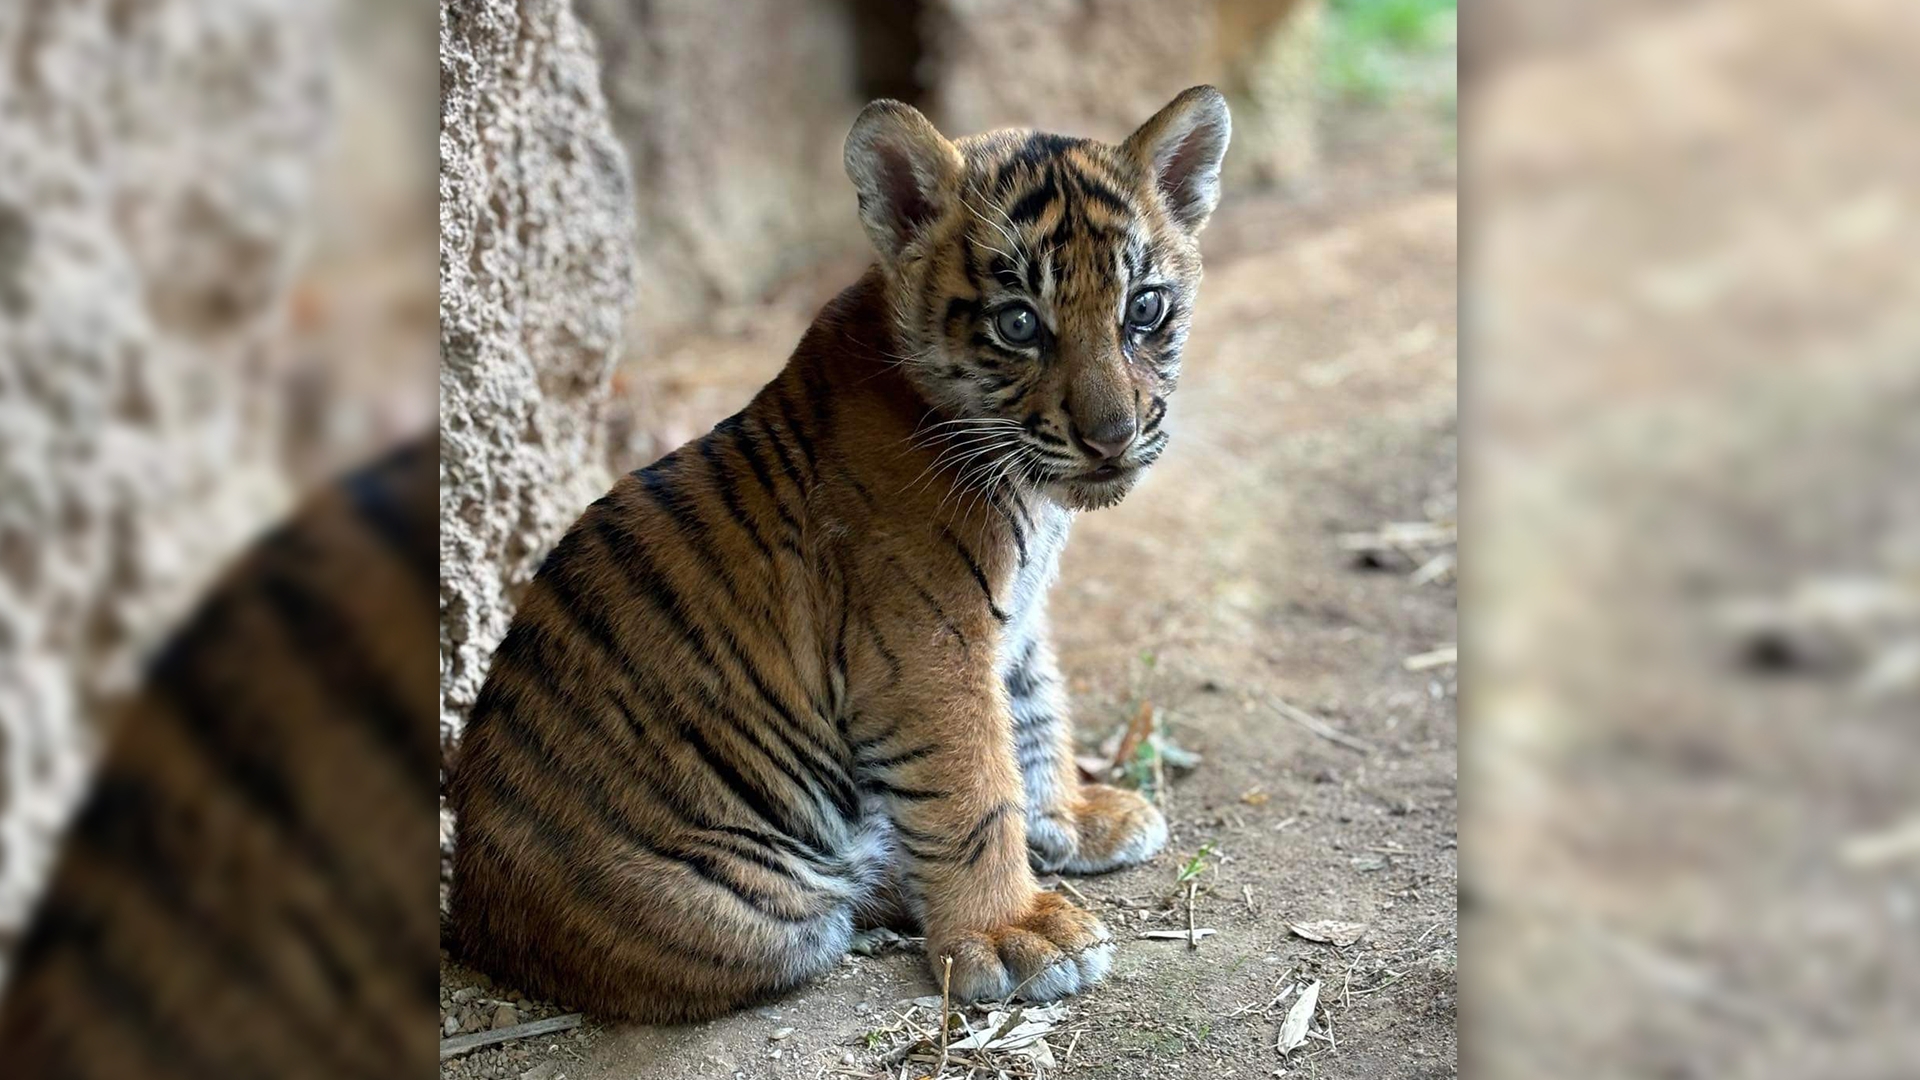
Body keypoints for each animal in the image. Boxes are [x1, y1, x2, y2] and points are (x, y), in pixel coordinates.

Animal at [446, 86, 1231, 1021]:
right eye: (1018, 324)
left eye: (1143, 308)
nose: (1112, 439)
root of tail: (470, 911)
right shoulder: (925, 649)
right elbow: (975, 785)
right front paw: (1011, 932)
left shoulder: (1017, 618)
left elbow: (1036, 709)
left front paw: (1072, 817)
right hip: (744, 911)